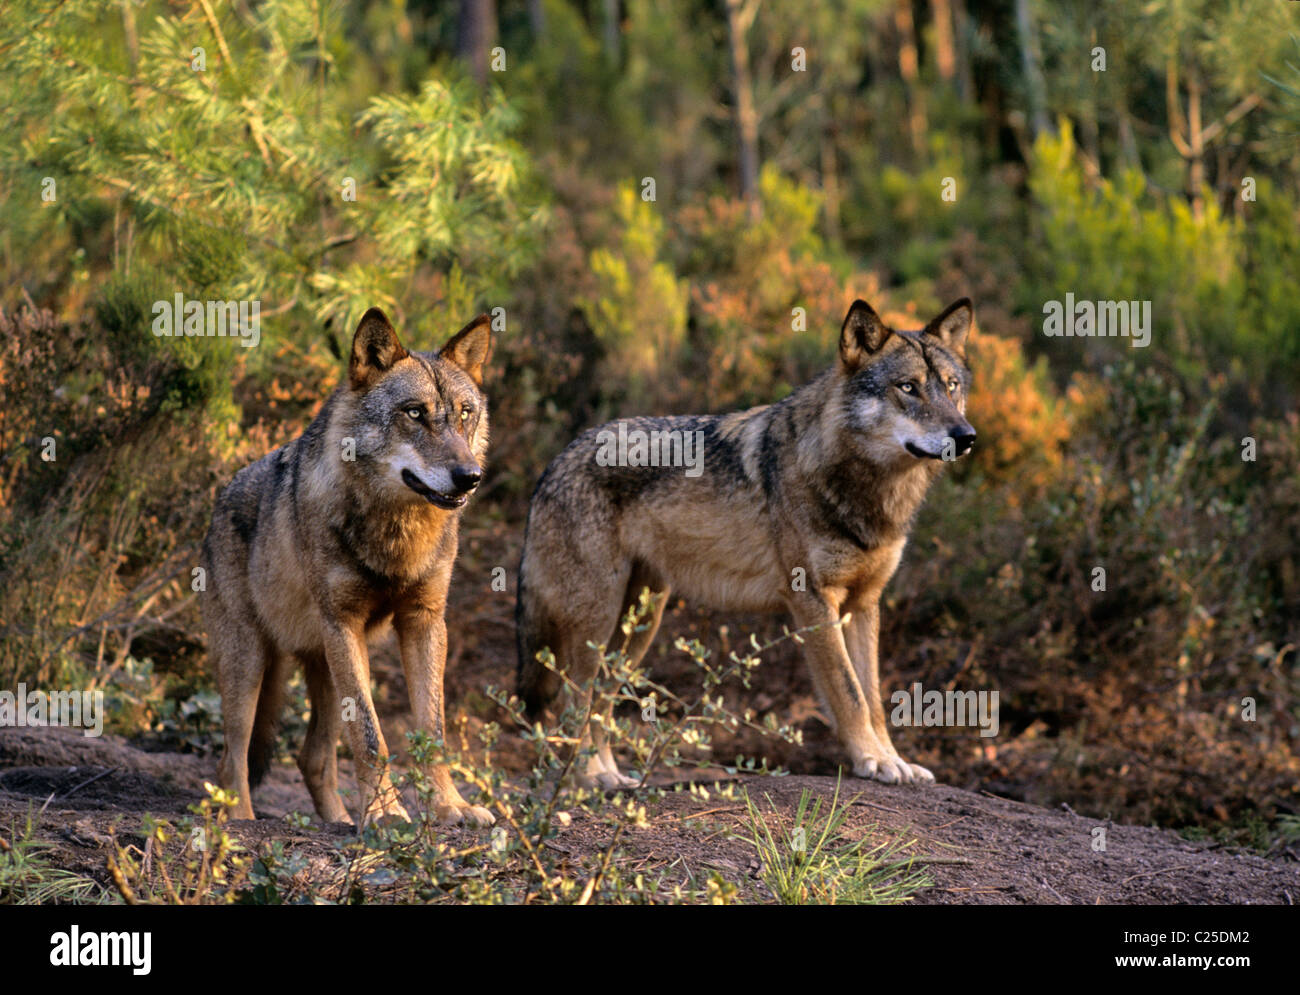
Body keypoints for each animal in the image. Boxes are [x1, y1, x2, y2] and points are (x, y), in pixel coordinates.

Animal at [201, 308, 494, 826]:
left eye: (464, 413)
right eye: (414, 413)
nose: (470, 477)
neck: (398, 533)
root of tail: (222, 496)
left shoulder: (424, 623)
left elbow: (433, 731)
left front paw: (450, 807)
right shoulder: (344, 622)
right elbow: (373, 739)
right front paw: (384, 812)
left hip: (325, 664)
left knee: (312, 758)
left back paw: (338, 819)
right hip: (250, 662)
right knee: (232, 756)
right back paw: (241, 821)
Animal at [516, 298, 975, 788]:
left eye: (951, 387)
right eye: (908, 387)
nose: (966, 437)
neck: (869, 491)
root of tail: (552, 464)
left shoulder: (864, 604)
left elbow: (872, 698)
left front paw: (893, 759)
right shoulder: (813, 602)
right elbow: (849, 692)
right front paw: (874, 761)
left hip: (640, 624)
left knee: (599, 703)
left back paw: (609, 778)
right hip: (600, 621)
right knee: (573, 700)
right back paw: (585, 779)